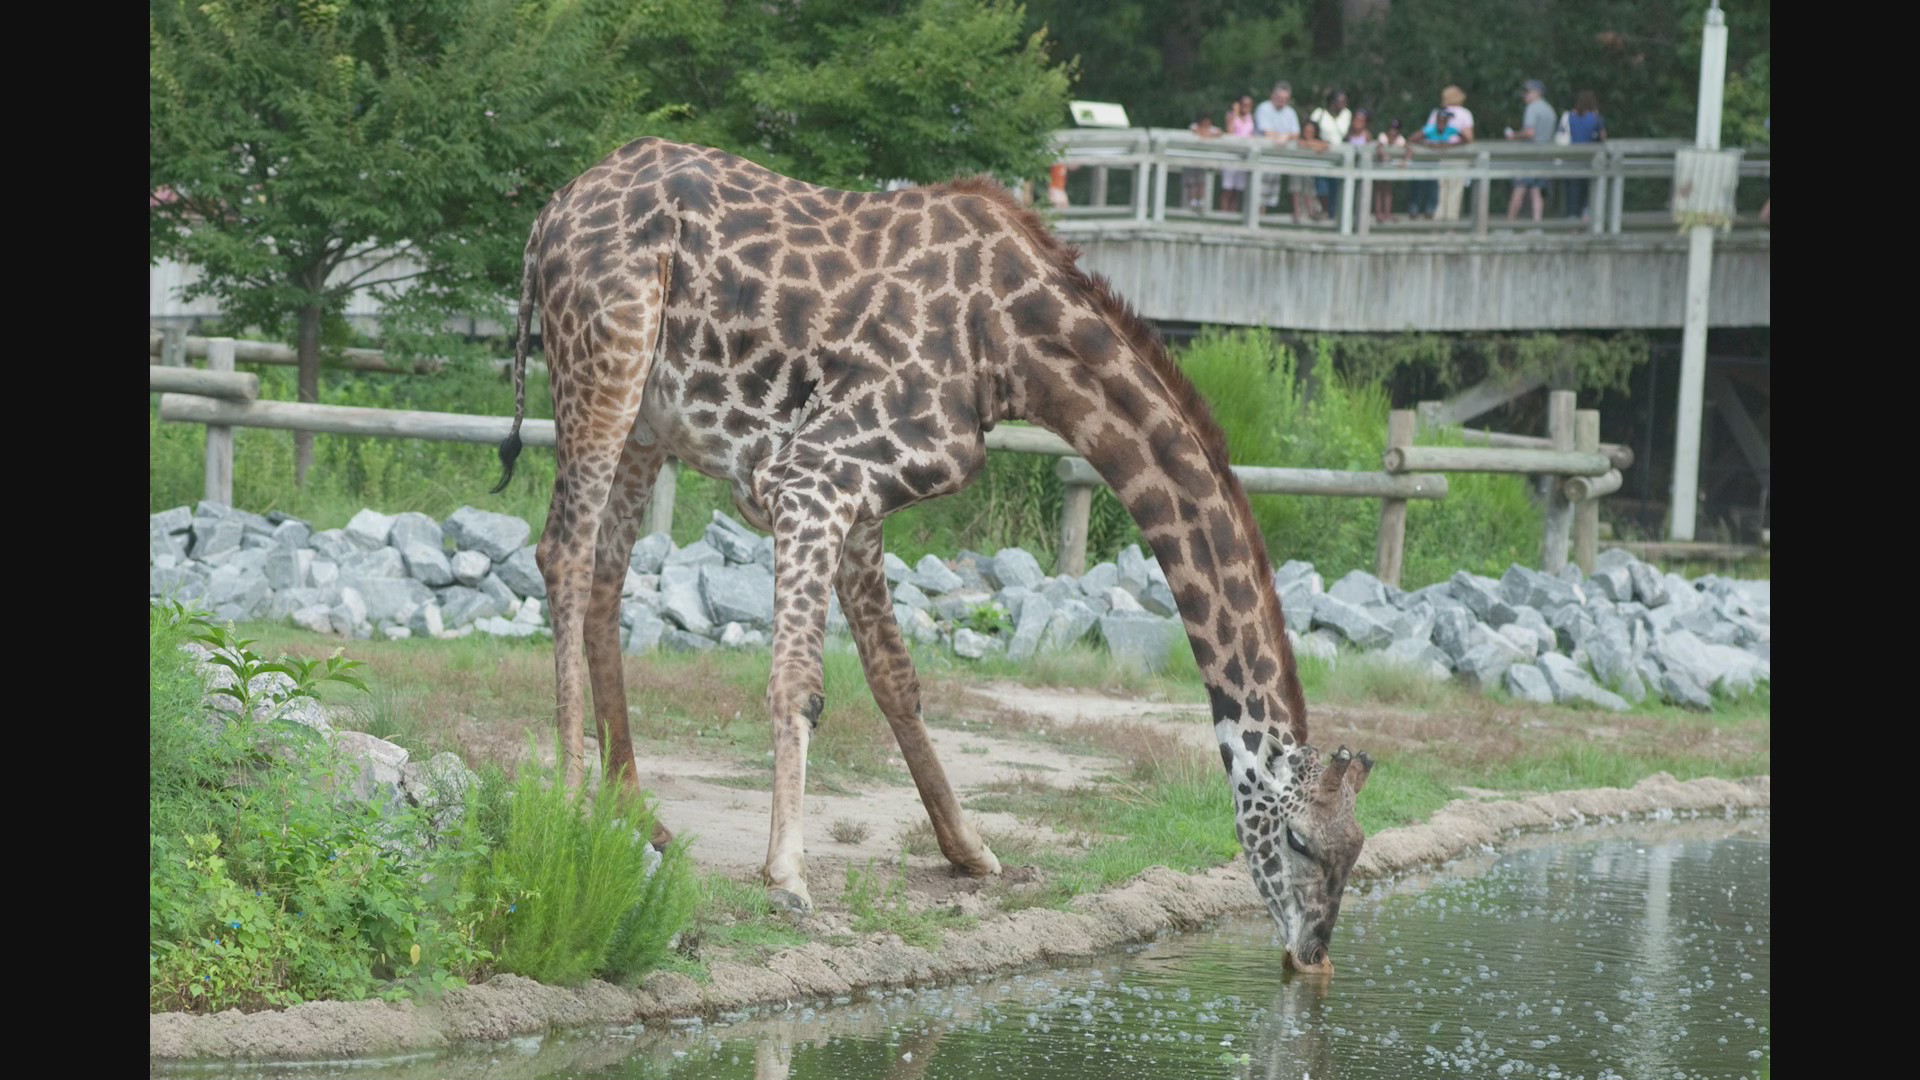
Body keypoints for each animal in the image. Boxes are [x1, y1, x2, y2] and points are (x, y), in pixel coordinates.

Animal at [493, 138, 1374, 974]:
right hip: (605, 364)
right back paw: (571, 801)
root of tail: (545, 220)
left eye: (1358, 849)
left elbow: (896, 676)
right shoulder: (812, 477)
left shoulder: (855, 498)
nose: (1313, 953)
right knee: (563, 552)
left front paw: (970, 850)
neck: (1012, 347)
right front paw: (788, 877)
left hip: (649, 420)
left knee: (606, 573)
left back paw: (637, 813)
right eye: (1300, 841)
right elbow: (801, 684)